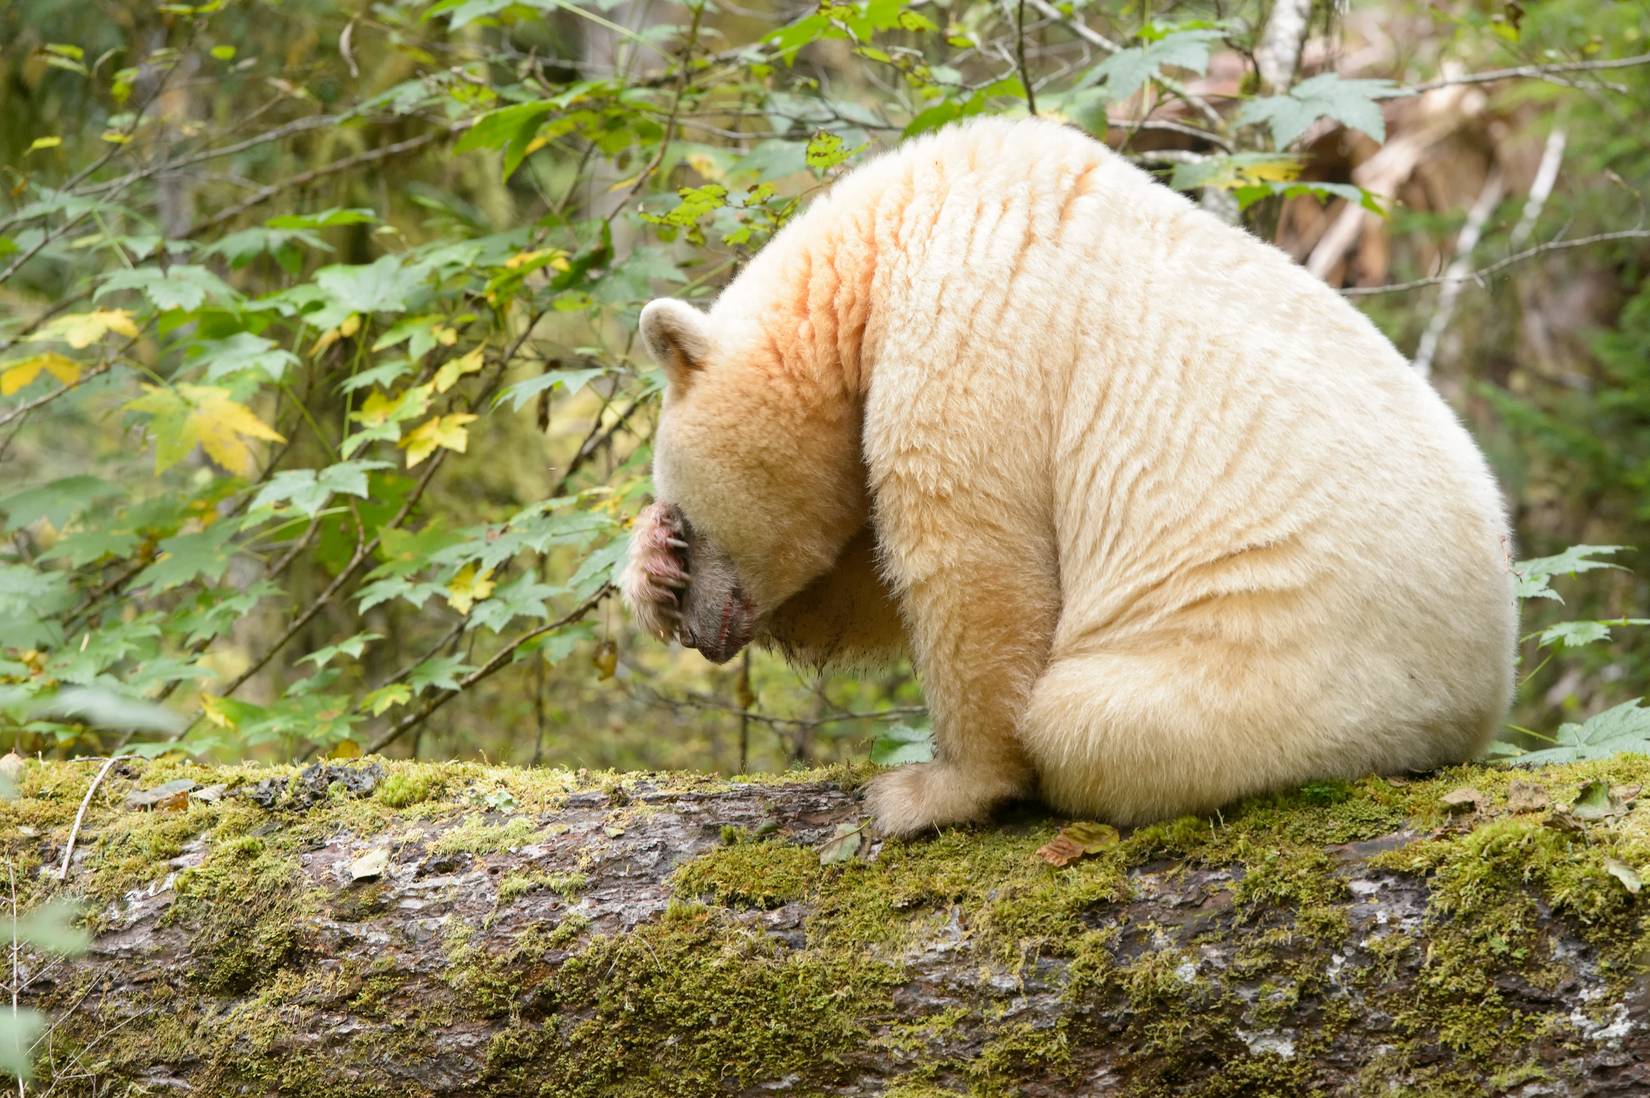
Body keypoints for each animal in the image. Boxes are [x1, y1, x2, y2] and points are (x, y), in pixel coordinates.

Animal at [621, 116, 1517, 837]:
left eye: (694, 510)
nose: (699, 632)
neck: (887, 237)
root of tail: (1479, 692)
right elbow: (865, 574)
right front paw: (648, 570)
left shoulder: (967, 328)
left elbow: (969, 561)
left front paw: (928, 794)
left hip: (1274, 650)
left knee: (1088, 722)